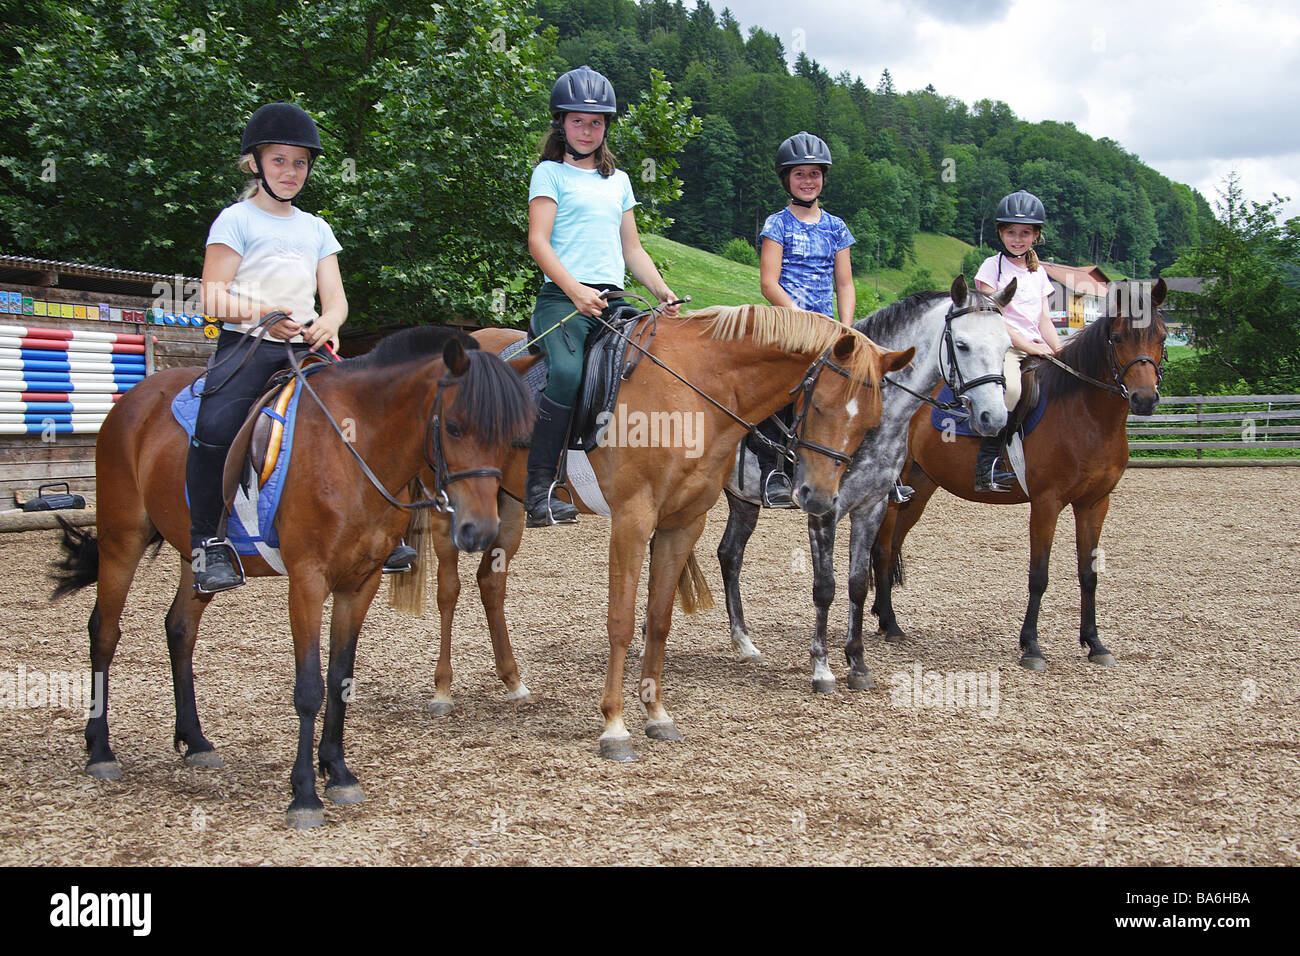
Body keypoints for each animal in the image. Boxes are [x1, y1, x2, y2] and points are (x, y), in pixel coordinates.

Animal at [49, 326, 536, 828]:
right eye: (454, 427)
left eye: (512, 438)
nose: (480, 531)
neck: (355, 449)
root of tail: (132, 401)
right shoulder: (307, 581)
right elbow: (309, 688)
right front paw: (304, 794)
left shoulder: (360, 583)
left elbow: (340, 678)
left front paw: (338, 772)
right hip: (121, 538)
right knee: (104, 632)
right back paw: (100, 750)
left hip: (192, 554)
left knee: (180, 629)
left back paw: (196, 742)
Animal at [422, 304, 914, 760]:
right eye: (821, 406)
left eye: (870, 423)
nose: (818, 498)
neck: (698, 391)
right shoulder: (633, 519)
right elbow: (620, 621)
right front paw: (614, 727)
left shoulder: (683, 524)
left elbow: (659, 620)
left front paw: (657, 715)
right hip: (445, 499)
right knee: (449, 588)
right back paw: (442, 691)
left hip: (506, 503)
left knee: (491, 583)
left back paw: (513, 682)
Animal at [716, 276, 1014, 692]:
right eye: (962, 344)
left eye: (1006, 346)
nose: (994, 418)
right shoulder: (824, 511)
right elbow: (825, 587)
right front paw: (822, 668)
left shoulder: (871, 508)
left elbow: (857, 583)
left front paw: (857, 664)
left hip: (742, 499)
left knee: (729, 555)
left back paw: (743, 642)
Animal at [871, 278, 1169, 670]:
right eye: (1118, 338)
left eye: (1162, 337)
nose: (1144, 399)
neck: (1085, 415)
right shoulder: (1046, 503)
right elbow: (1038, 576)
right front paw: (1031, 646)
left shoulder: (1095, 503)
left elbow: (1088, 574)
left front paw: (1095, 643)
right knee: (883, 549)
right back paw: (889, 623)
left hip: (919, 487)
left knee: (893, 546)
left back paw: (885, 617)